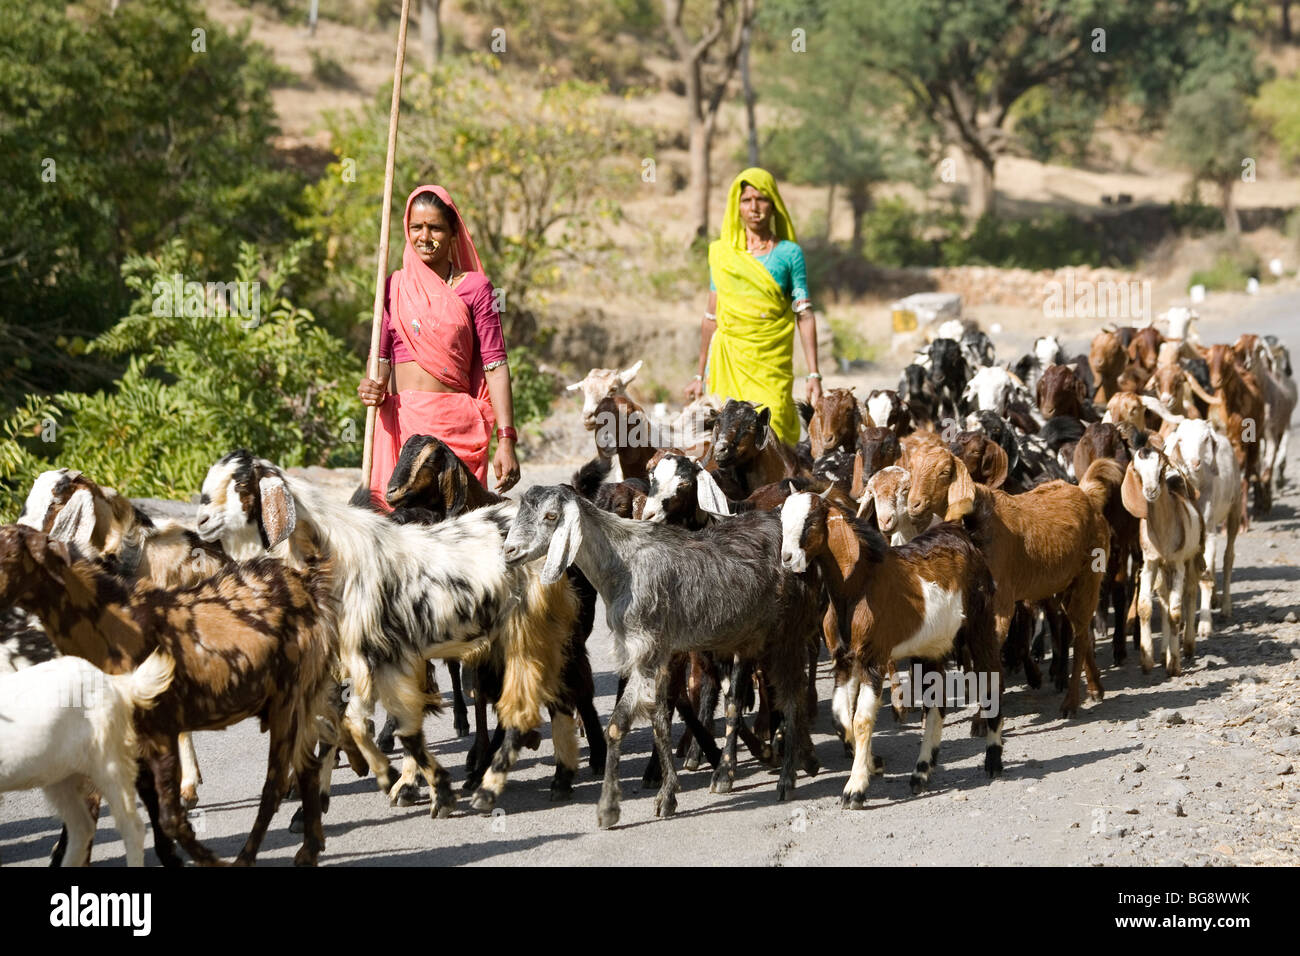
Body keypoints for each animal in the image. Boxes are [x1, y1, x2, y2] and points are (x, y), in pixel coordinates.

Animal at [501, 485, 822, 828]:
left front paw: (609, 807)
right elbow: (660, 722)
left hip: (787, 633)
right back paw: (803, 759)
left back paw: (786, 779)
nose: (509, 551)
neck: (623, 565)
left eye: (551, 516)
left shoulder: (647, 652)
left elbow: (619, 724)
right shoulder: (663, 653)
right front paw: (667, 796)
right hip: (753, 637)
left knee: (790, 697)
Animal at [779, 493, 1003, 804]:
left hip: (979, 625)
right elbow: (840, 718)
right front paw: (873, 763)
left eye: (811, 521)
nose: (787, 558)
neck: (858, 586)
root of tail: (965, 536)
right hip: (932, 647)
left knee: (992, 679)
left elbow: (861, 720)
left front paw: (855, 788)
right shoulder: (845, 661)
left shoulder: (873, 659)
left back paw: (993, 760)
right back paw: (921, 772)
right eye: (782, 519)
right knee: (937, 704)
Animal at [1120, 435, 1206, 675]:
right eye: (1137, 470)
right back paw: (1162, 652)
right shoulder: (1150, 563)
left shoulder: (1177, 563)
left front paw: (1173, 664)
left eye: (1161, 468)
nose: (1150, 491)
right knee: (1165, 600)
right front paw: (1147, 660)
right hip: (1163, 570)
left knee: (1189, 592)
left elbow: (1175, 613)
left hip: (1191, 559)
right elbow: (1145, 607)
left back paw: (1188, 646)